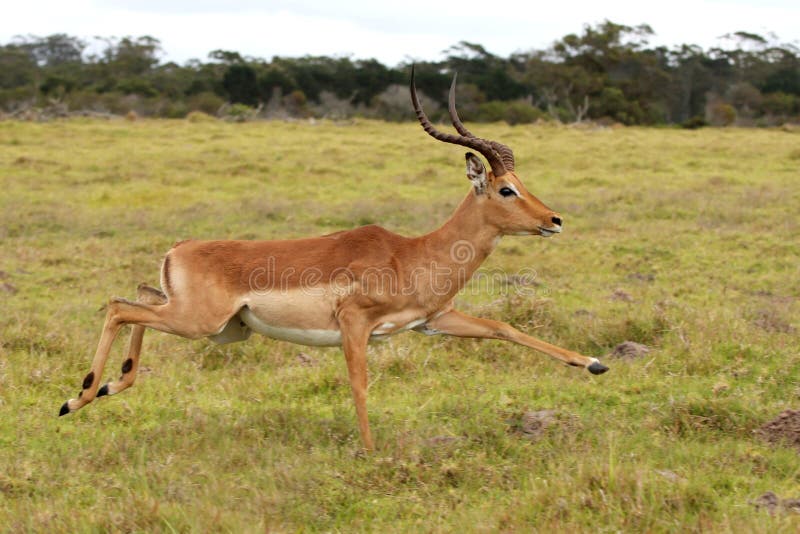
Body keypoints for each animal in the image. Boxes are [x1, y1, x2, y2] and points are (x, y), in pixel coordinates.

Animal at [59, 69, 608, 450]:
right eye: (506, 189)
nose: (555, 219)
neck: (411, 254)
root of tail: (180, 248)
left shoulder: (432, 320)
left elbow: (503, 327)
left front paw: (594, 363)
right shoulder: (355, 324)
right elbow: (359, 385)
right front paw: (370, 452)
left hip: (219, 328)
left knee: (137, 297)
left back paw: (107, 387)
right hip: (200, 323)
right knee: (119, 306)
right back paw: (76, 397)